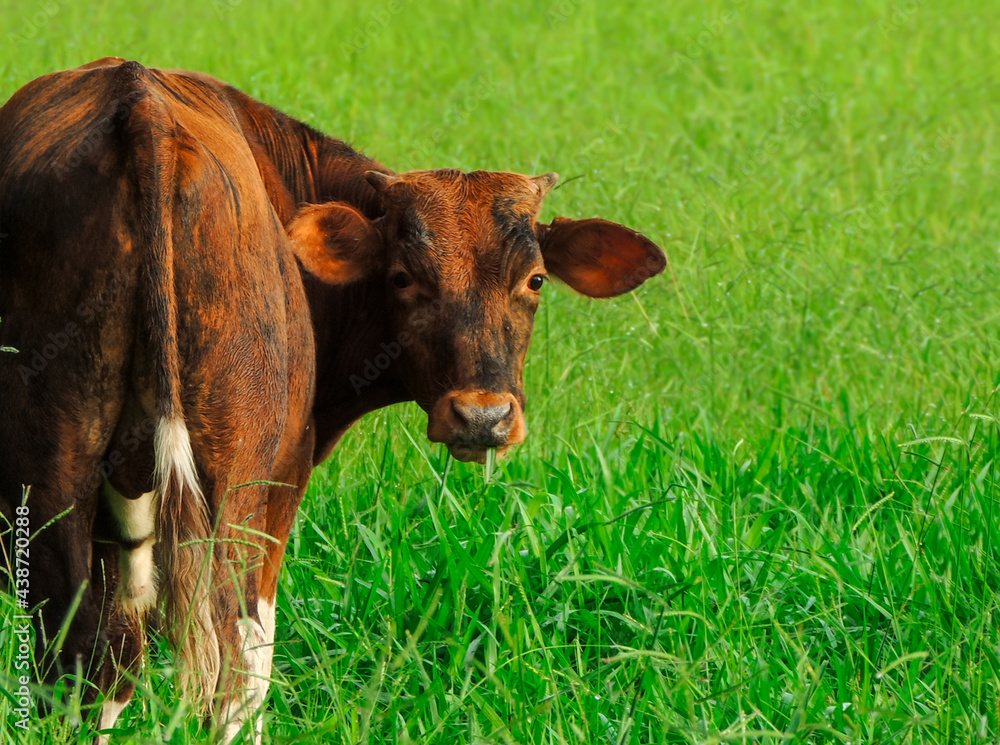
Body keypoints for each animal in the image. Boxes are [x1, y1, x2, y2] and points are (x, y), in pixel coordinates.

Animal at [0, 58, 665, 742]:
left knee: (81, 656)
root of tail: (140, 103)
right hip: (234, 487)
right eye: (403, 276)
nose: (484, 416)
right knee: (228, 665)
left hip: (53, 483)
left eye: (534, 280)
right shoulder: (284, 477)